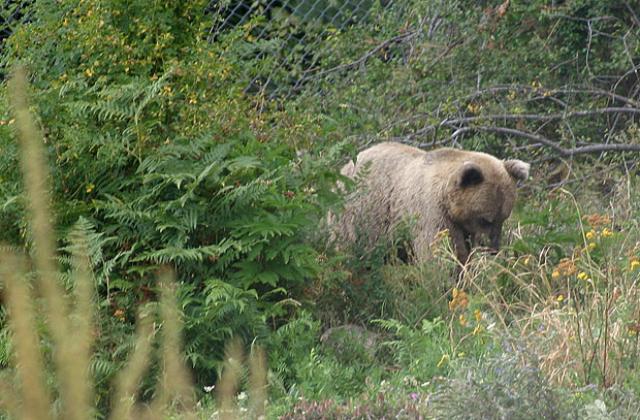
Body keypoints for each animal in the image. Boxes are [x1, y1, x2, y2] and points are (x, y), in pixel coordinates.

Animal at [336, 143, 528, 264]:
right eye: (485, 219)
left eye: (503, 218)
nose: (493, 249)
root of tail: (343, 168)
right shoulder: (431, 213)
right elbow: (437, 253)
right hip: (359, 216)